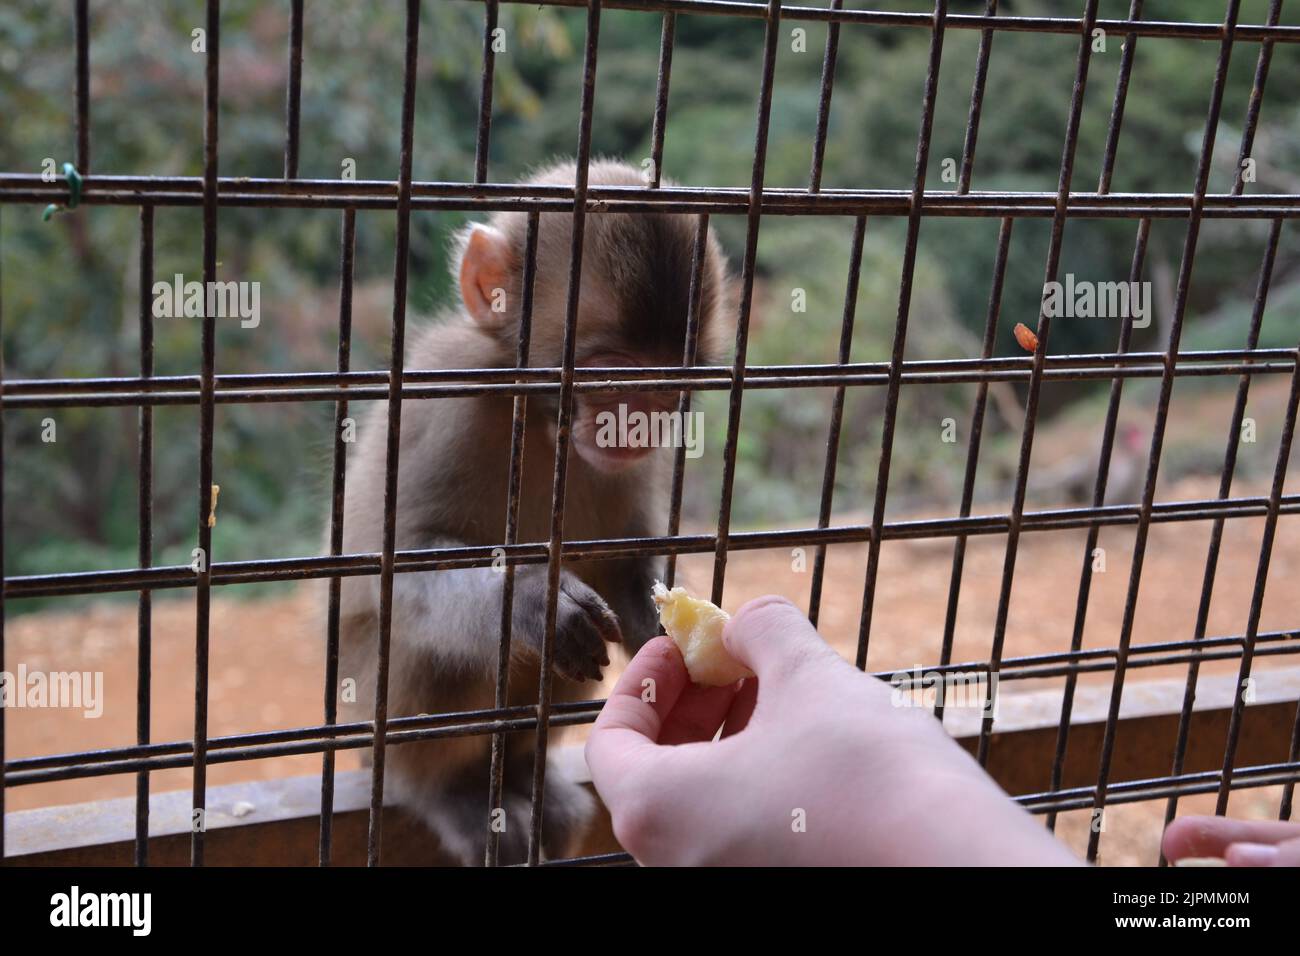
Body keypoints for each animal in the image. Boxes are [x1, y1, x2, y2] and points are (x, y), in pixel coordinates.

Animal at [334, 159, 734, 865]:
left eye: (669, 388)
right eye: (613, 376)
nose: (635, 426)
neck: (544, 421)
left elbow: (622, 568)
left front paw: (658, 627)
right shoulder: (451, 403)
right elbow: (392, 576)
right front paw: (530, 597)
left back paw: (524, 777)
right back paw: (454, 793)